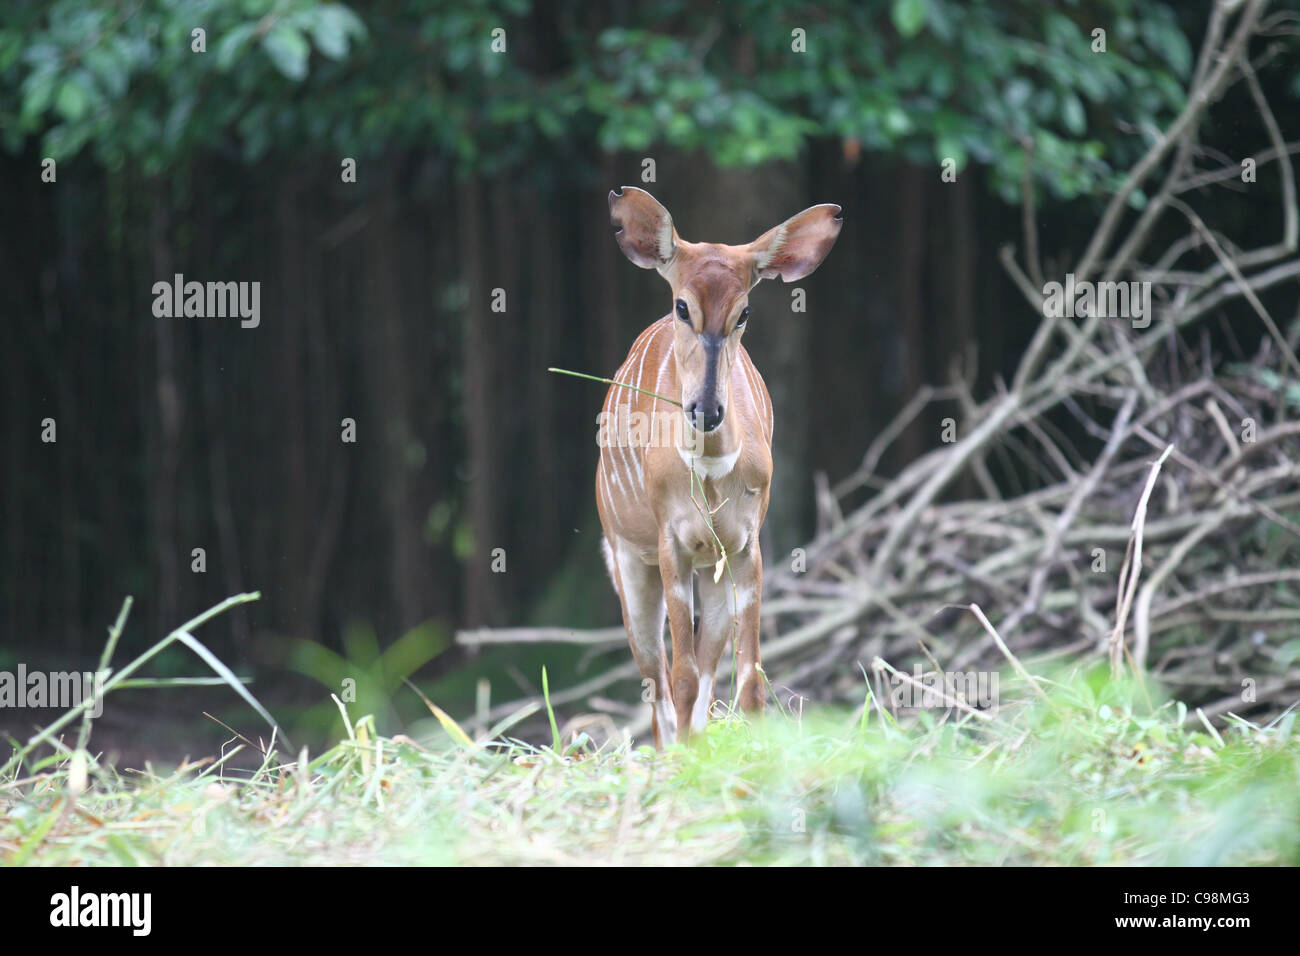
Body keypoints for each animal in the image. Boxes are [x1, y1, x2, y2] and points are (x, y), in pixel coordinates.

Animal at [597, 186, 842, 748]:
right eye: (681, 305)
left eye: (744, 311)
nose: (705, 409)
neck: (710, 472)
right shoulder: (672, 541)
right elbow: (681, 677)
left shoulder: (746, 544)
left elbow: (748, 679)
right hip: (626, 559)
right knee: (657, 681)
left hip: (712, 568)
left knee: (701, 674)